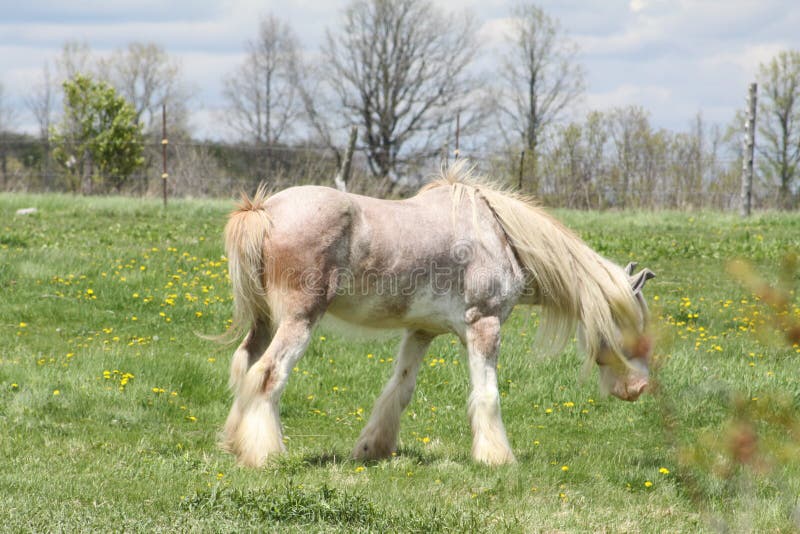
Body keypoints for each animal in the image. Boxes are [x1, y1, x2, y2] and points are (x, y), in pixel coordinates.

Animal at [220, 160, 655, 468]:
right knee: (268, 375)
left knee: (246, 364)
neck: (501, 237)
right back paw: (265, 455)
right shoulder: (484, 327)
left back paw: (234, 444)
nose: (638, 388)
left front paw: (372, 449)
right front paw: (497, 458)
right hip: (299, 320)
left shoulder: (420, 332)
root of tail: (265, 209)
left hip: (266, 322)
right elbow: (488, 395)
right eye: (633, 325)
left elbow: (399, 391)